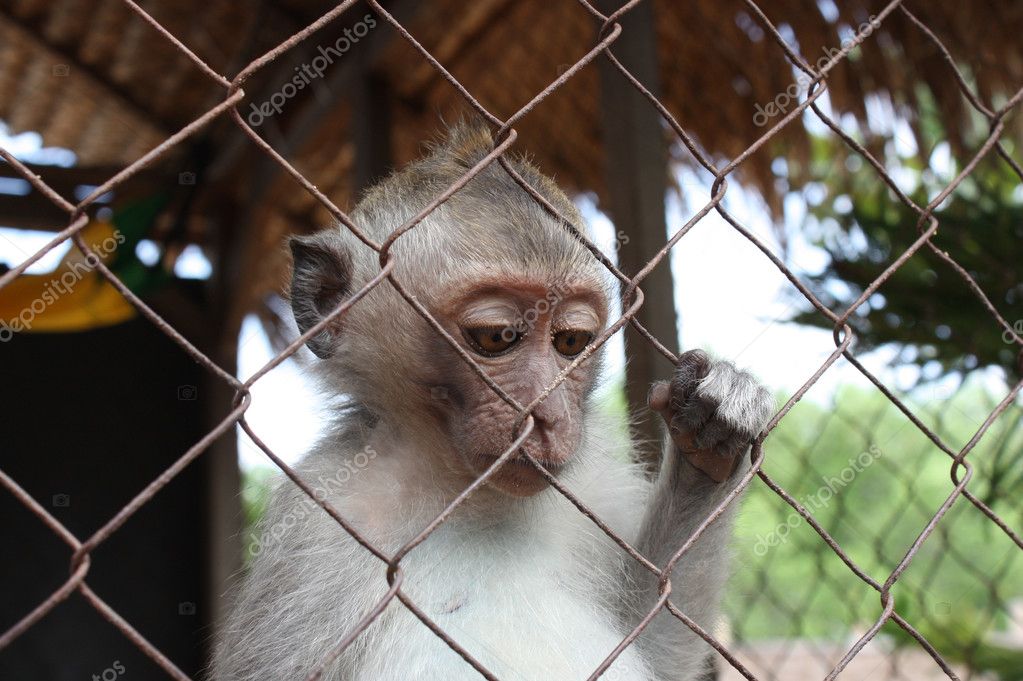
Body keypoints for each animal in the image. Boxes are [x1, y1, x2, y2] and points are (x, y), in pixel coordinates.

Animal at [212, 124, 774, 681]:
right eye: (496, 336)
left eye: (571, 341)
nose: (547, 417)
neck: (463, 491)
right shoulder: (315, 526)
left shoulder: (593, 485)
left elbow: (654, 637)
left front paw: (712, 436)